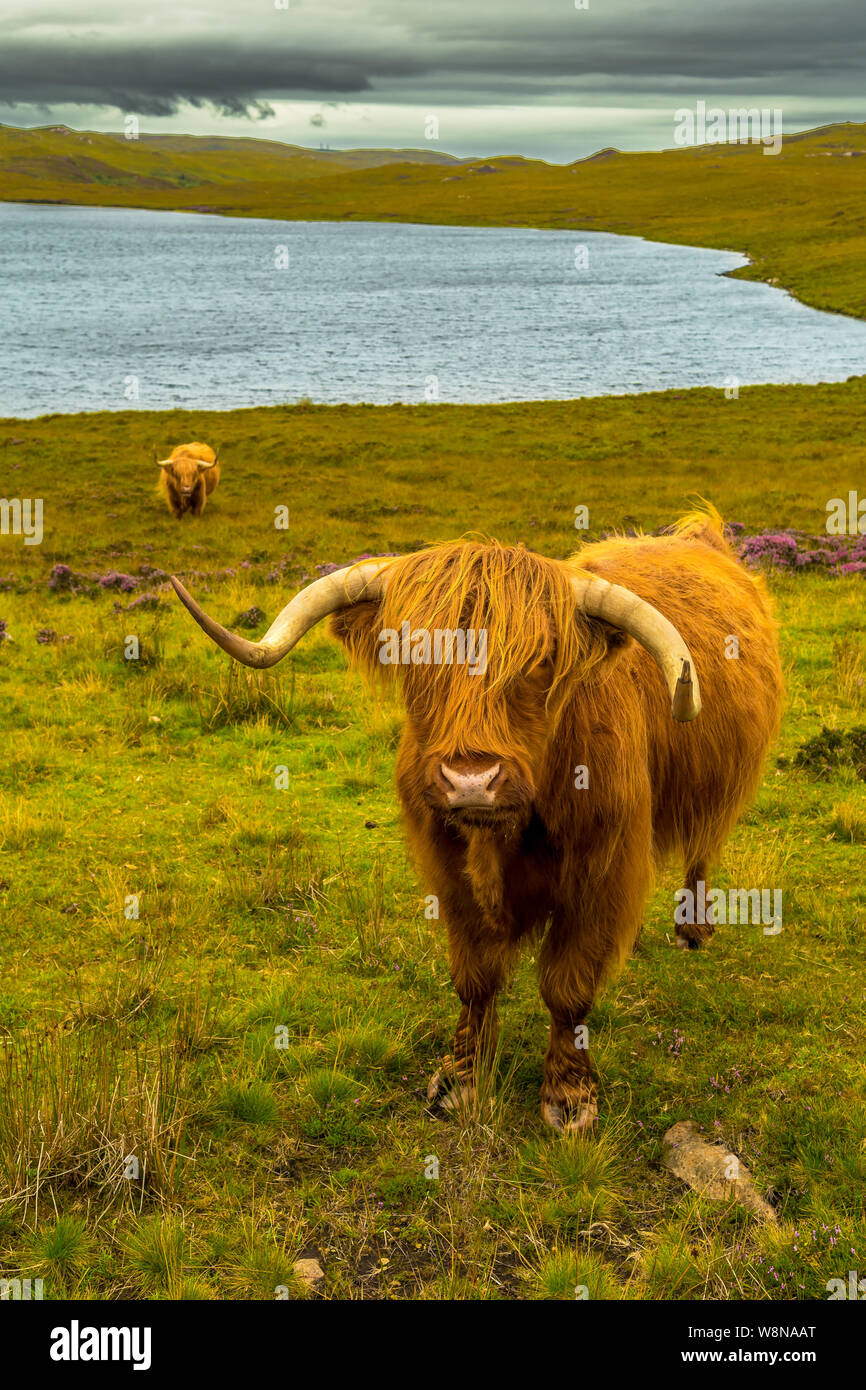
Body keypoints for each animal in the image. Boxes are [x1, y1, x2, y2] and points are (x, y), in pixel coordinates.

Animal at [171, 509, 783, 1134]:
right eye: (412, 654)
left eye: (542, 661)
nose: (471, 780)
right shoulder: (449, 872)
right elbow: (473, 978)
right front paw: (461, 1079)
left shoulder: (600, 871)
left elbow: (568, 986)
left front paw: (569, 1097)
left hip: (720, 789)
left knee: (702, 849)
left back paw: (694, 928)